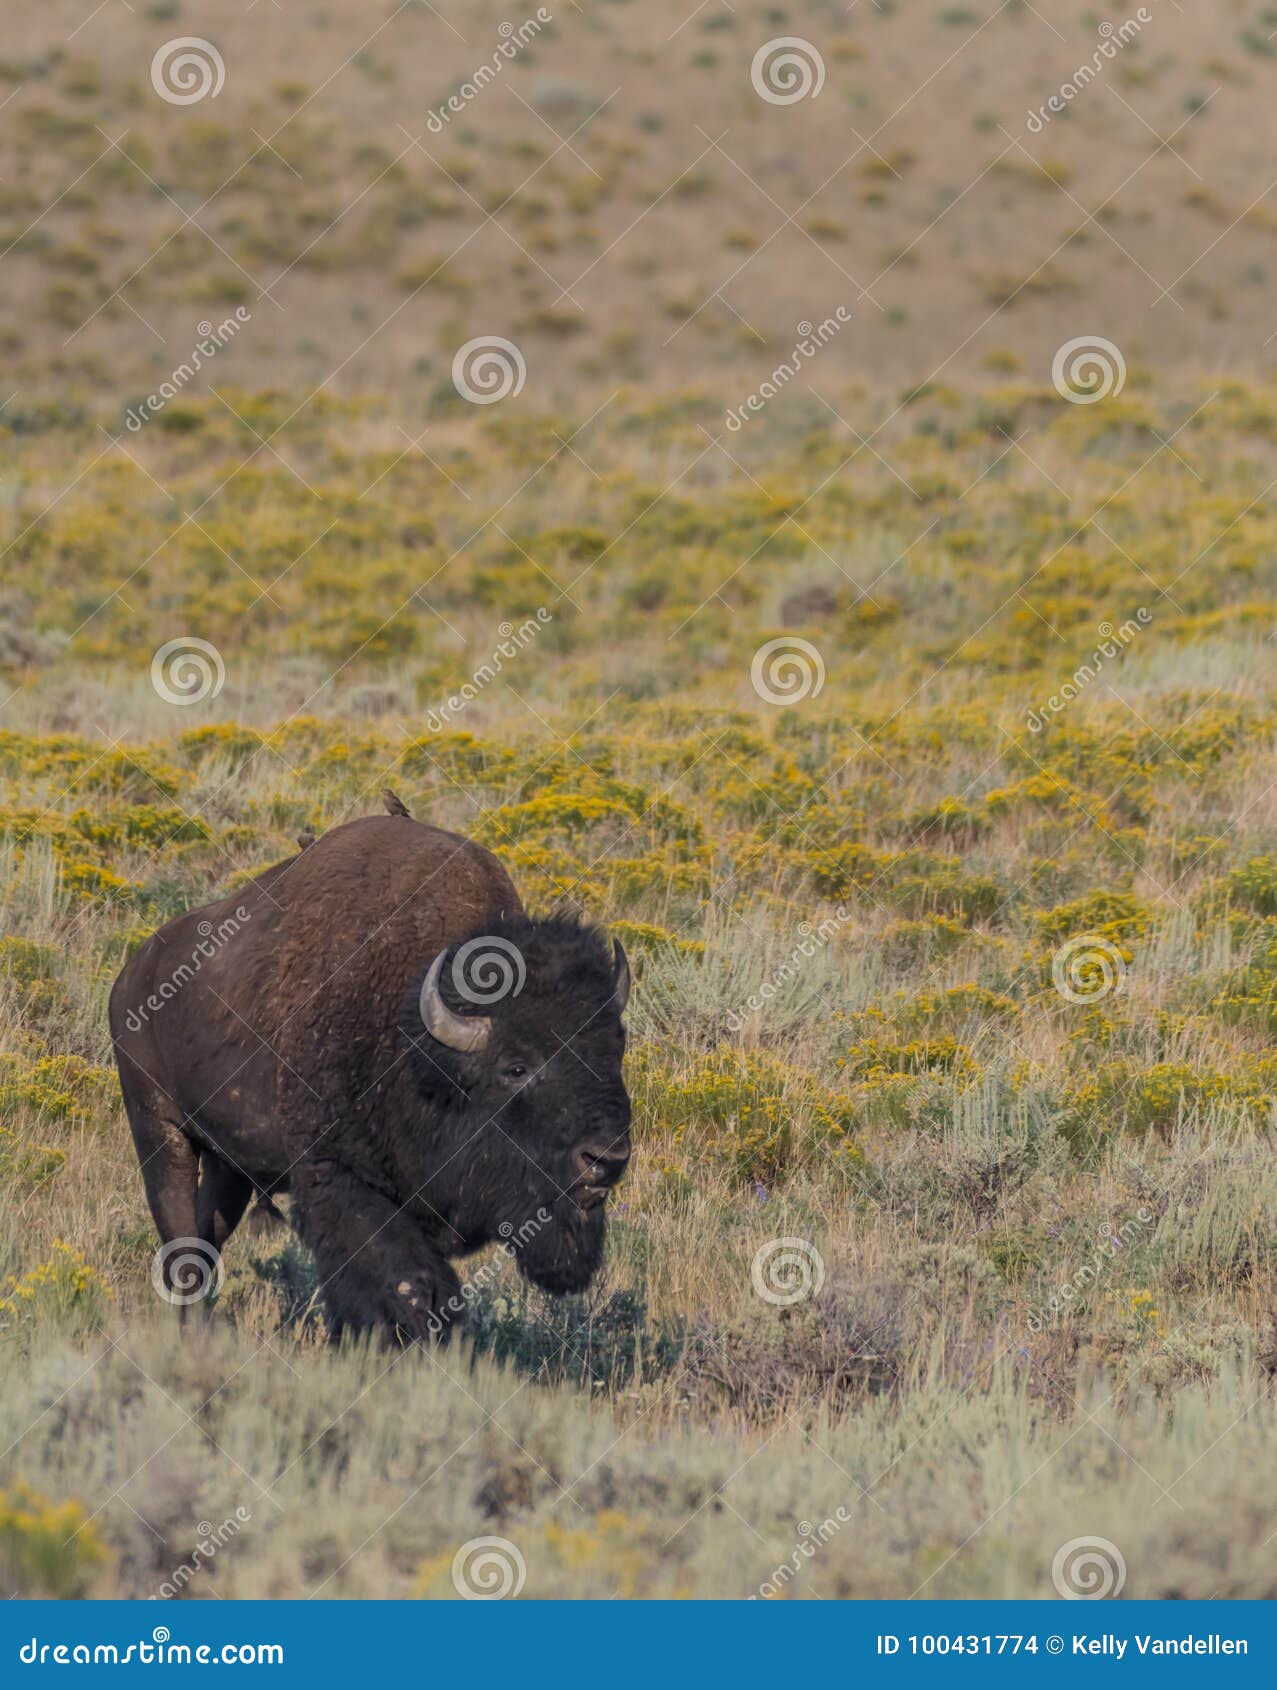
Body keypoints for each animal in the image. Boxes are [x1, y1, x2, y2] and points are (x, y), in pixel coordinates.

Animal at [109, 800, 632, 1343]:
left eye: (614, 1051)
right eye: (516, 1067)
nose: (606, 1159)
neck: (414, 1042)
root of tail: (129, 976)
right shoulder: (341, 1178)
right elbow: (405, 1283)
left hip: (227, 1165)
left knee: (205, 1241)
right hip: (160, 1133)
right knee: (182, 1247)